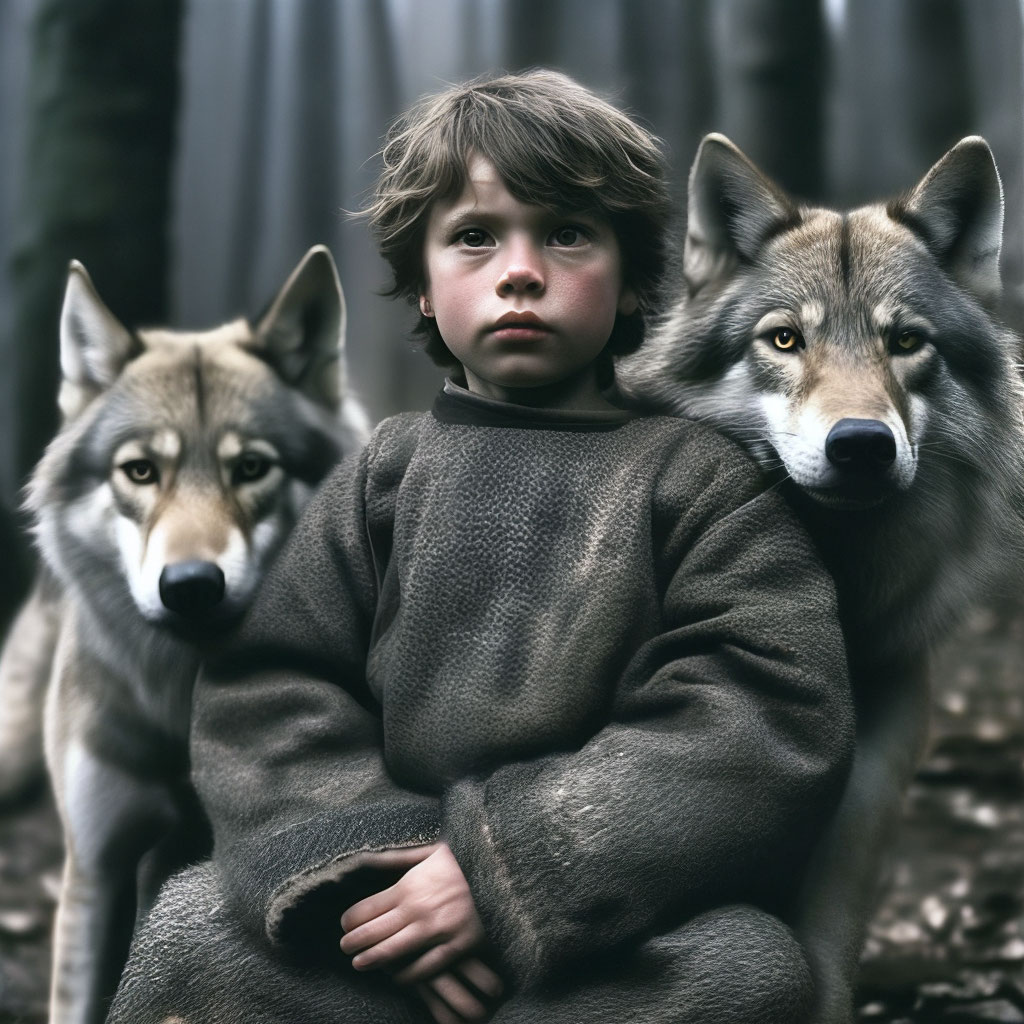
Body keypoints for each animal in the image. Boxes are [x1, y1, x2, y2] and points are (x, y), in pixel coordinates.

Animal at [616, 135, 1024, 1023]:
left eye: (906, 342)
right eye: (783, 341)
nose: (862, 444)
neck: (837, 590)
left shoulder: (860, 810)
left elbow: (826, 965)